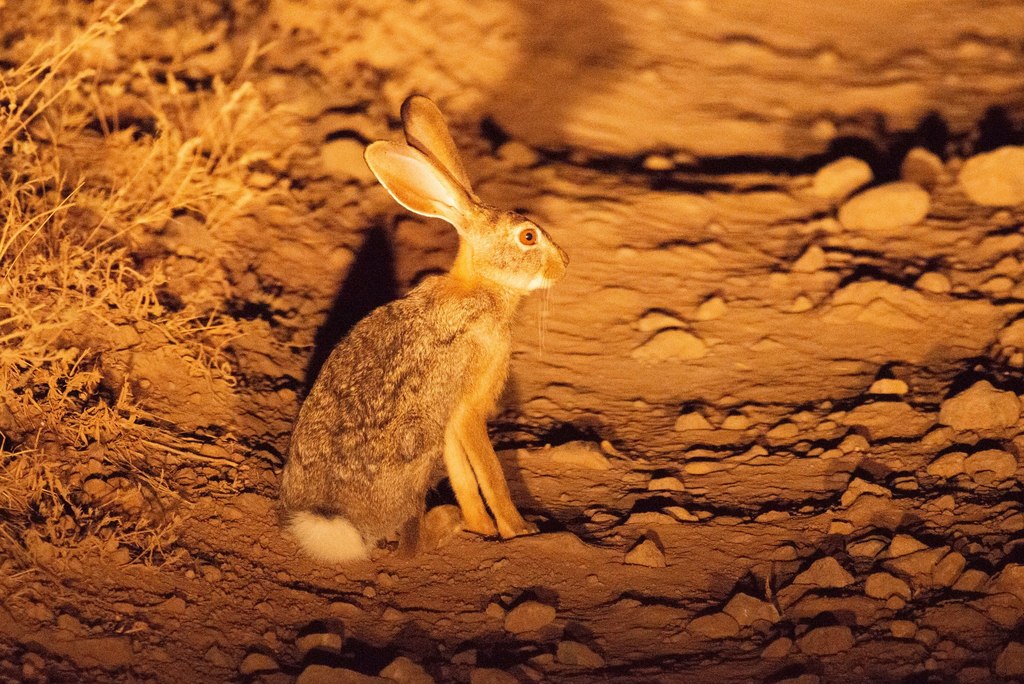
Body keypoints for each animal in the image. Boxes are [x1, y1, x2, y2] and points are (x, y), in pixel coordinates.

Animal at [280, 95, 568, 563]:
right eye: (528, 237)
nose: (565, 264)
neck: (482, 287)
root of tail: (334, 523)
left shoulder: (449, 423)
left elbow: (463, 471)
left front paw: (481, 526)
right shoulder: (469, 405)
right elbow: (489, 471)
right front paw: (518, 530)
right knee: (407, 550)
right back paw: (444, 523)